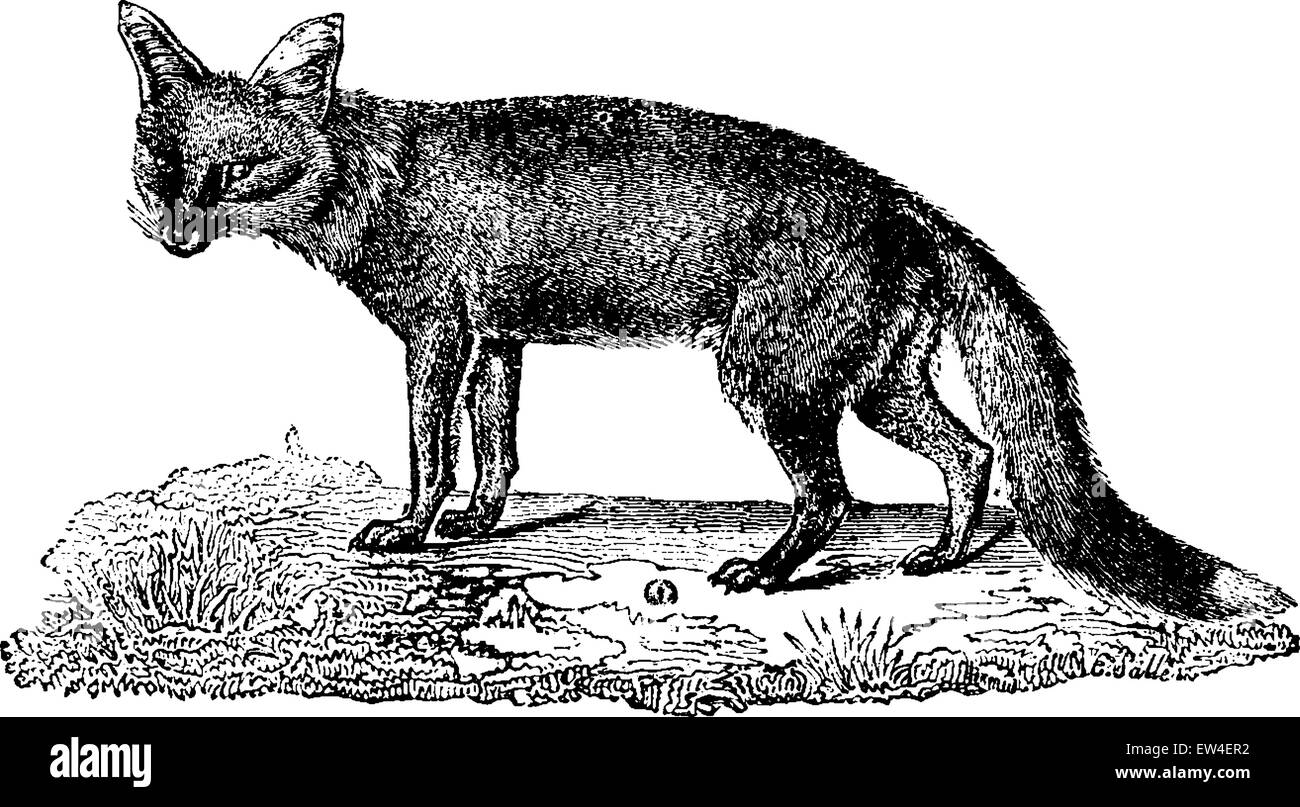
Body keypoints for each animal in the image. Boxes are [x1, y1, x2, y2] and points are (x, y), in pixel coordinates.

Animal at [118, 2, 1292, 621]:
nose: (172, 235)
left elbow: (429, 449)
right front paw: (481, 525)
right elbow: (496, 452)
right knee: (973, 454)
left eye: (236, 170)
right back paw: (943, 558)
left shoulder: (438, 335)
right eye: (164, 166)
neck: (381, 172)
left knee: (836, 496)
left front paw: (411, 530)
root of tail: (905, 201)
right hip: (875, 384)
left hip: (770, 382)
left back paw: (767, 572)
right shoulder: (500, 338)